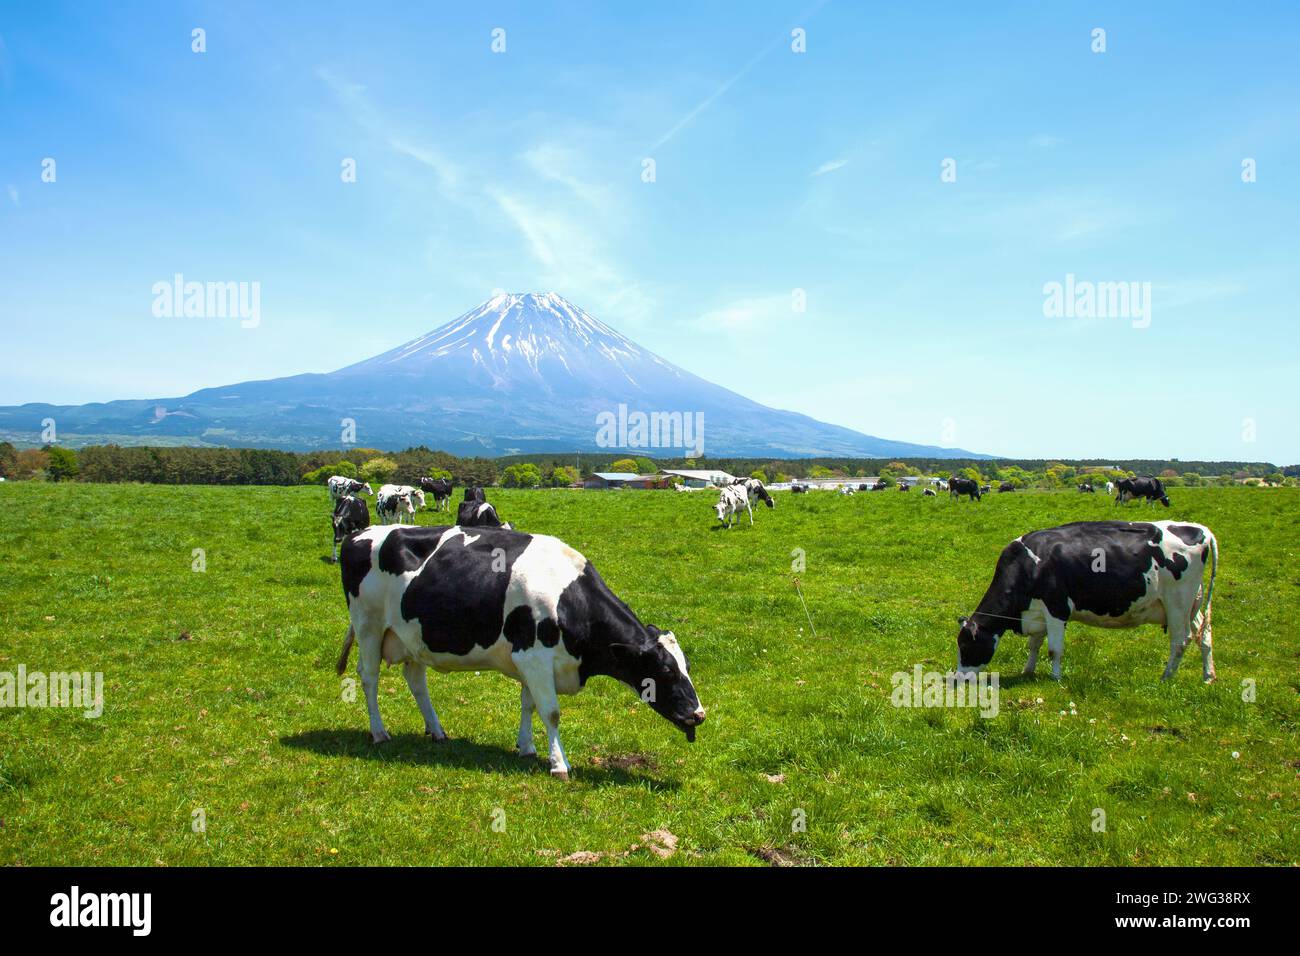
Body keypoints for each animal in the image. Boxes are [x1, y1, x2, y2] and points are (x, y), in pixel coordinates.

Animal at [336, 524, 705, 779]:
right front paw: (559, 764)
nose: (699, 714)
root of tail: (358, 534)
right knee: (368, 677)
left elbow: (528, 704)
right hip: (368, 624)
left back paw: (437, 730)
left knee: (415, 680)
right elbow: (551, 712)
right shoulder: (534, 657)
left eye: (686, 665)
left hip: (411, 636)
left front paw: (526, 747)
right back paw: (379, 732)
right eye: (666, 670)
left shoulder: (531, 661)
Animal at [955, 520, 1219, 682]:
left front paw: (1055, 677)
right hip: (1193, 604)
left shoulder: (1056, 609)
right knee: (1204, 636)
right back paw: (1208, 676)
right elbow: (1034, 644)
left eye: (966, 646)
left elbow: (1054, 649)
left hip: (1178, 603)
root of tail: (1201, 529)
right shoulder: (1037, 611)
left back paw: (1166, 677)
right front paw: (1027, 670)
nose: (958, 679)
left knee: (1180, 641)